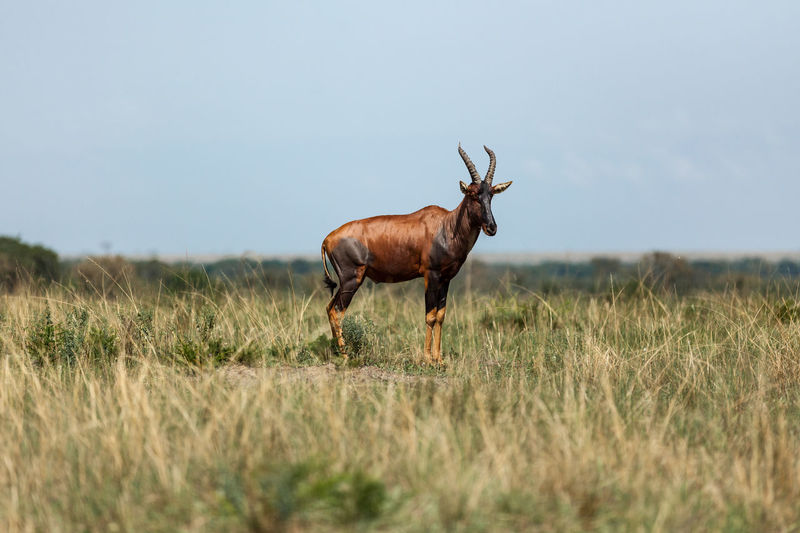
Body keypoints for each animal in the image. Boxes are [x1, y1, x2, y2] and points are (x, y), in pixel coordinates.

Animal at [321, 144, 512, 364]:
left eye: (491, 195)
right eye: (472, 194)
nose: (491, 227)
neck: (446, 226)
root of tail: (328, 239)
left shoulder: (446, 279)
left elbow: (440, 316)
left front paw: (439, 359)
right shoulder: (431, 275)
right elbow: (430, 315)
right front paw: (428, 359)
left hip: (345, 282)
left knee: (329, 308)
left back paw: (337, 351)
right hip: (351, 280)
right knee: (337, 311)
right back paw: (345, 355)